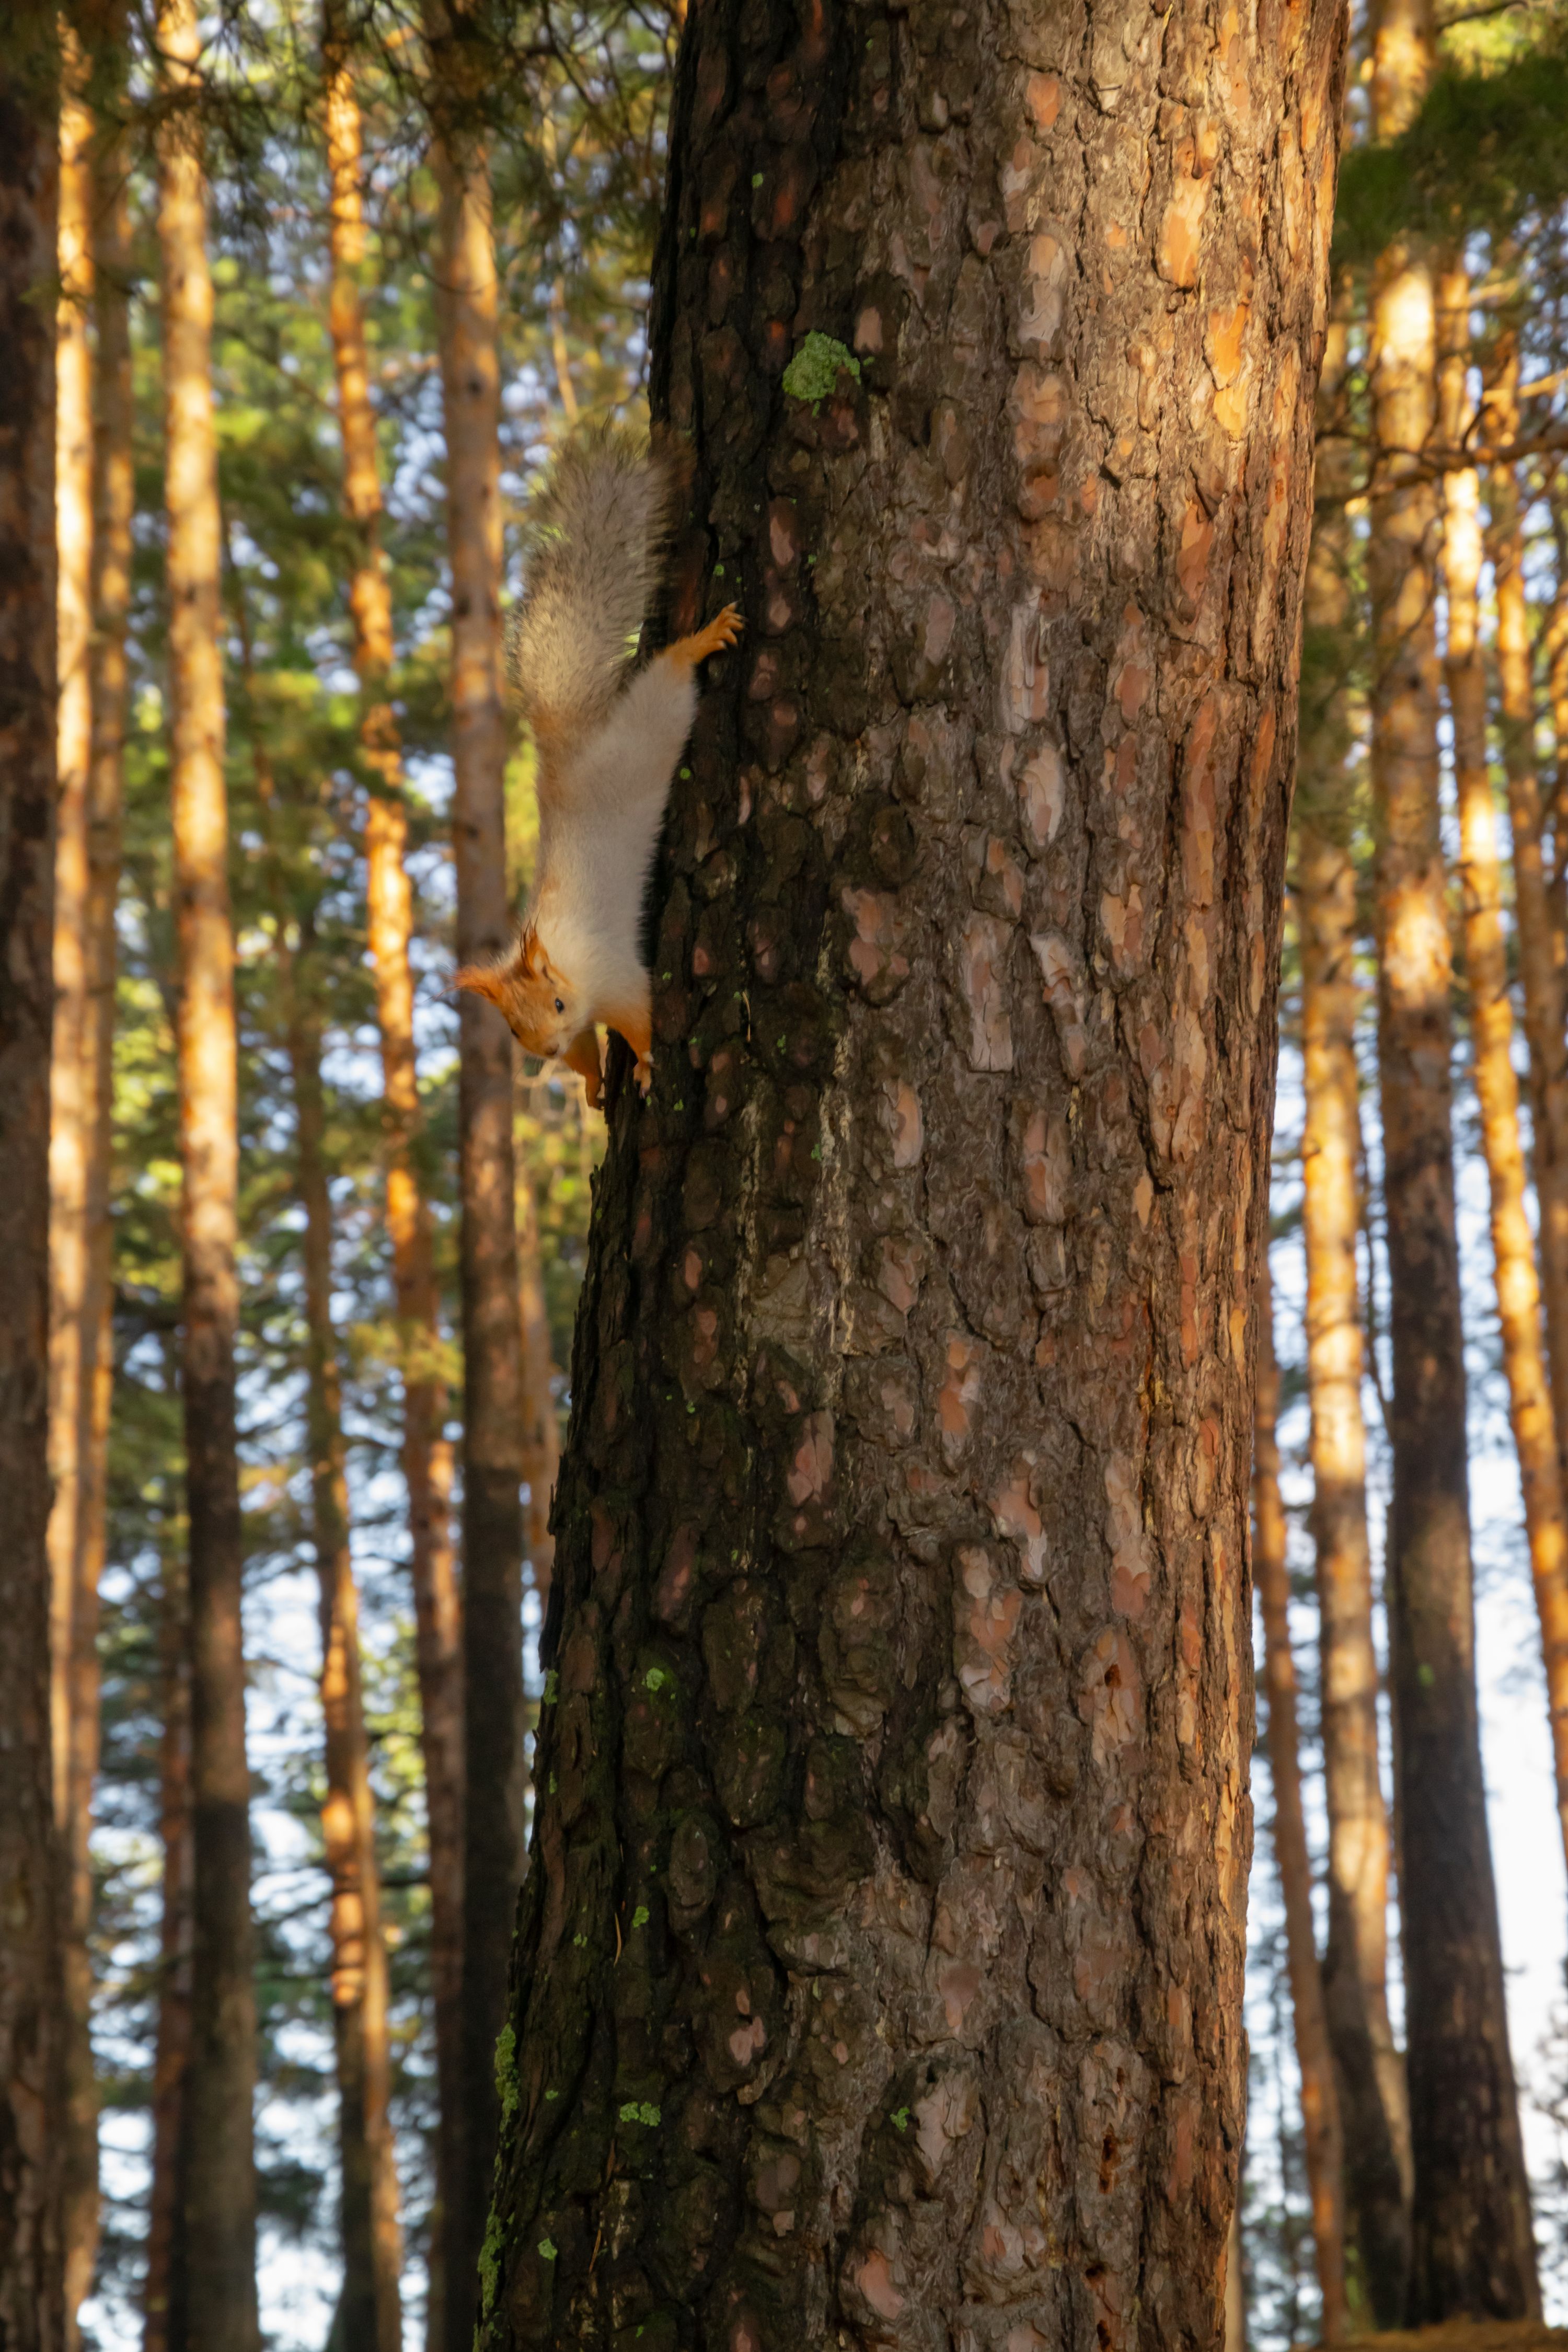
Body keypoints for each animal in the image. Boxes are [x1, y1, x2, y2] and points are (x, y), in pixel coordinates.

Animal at [455, 425, 742, 1108]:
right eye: (514, 1027)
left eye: (556, 1003)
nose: (546, 1051)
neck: (567, 963)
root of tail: (569, 751)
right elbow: (589, 1047)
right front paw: (589, 1080)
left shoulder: (612, 974)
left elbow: (640, 1016)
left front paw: (645, 1067)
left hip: (647, 731)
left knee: (670, 678)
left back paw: (701, 641)